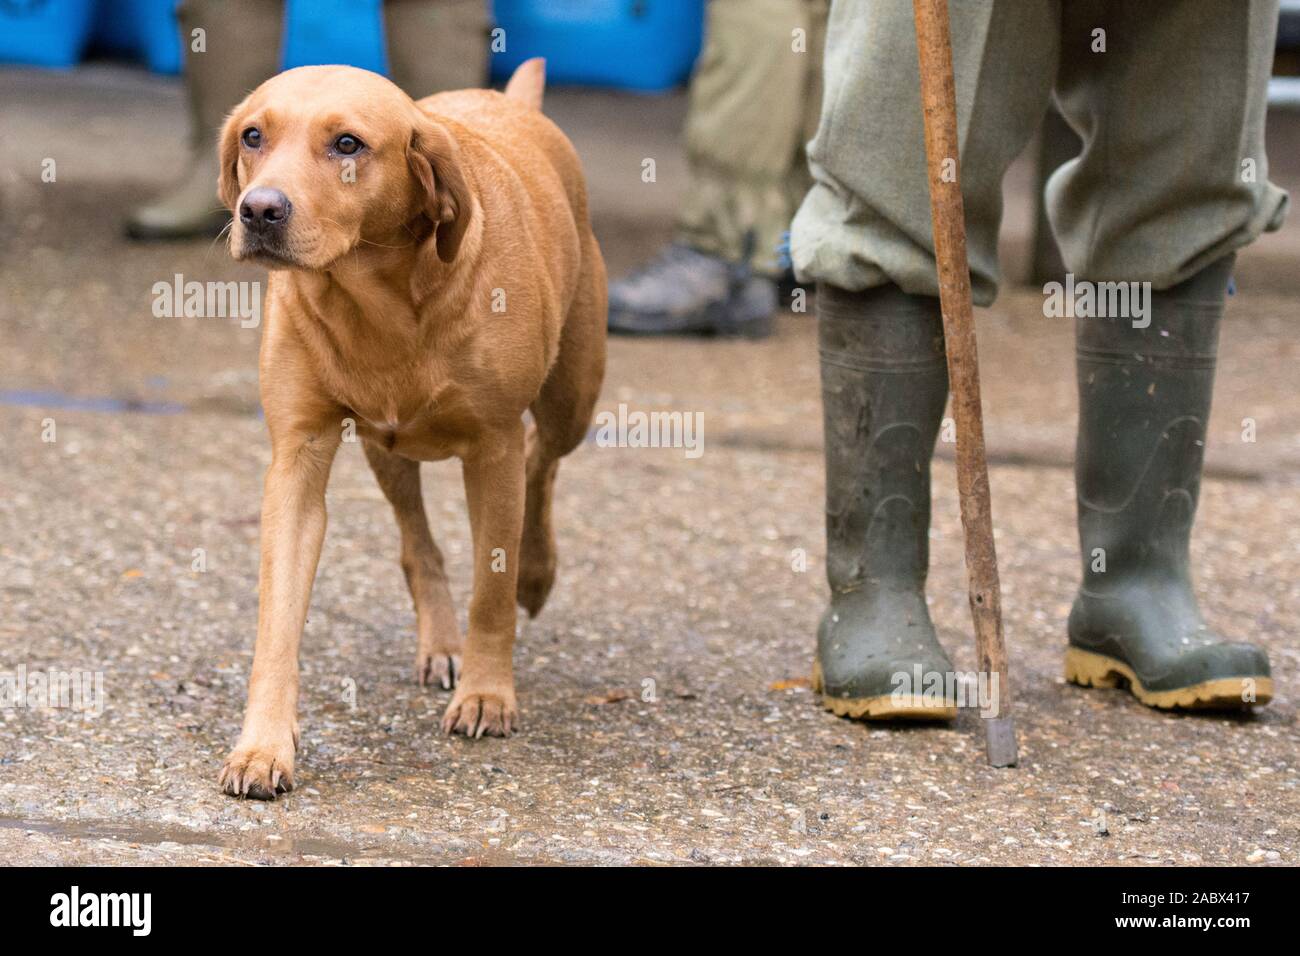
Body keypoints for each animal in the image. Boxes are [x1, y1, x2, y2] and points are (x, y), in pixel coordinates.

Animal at [215, 55, 605, 796]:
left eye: (348, 144)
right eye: (253, 135)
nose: (259, 209)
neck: (378, 296)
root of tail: (509, 101)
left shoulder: (493, 449)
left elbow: (492, 589)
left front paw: (488, 692)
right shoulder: (297, 459)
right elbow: (277, 624)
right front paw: (262, 744)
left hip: (574, 395)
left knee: (542, 459)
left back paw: (537, 572)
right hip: (384, 445)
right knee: (416, 542)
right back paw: (442, 639)